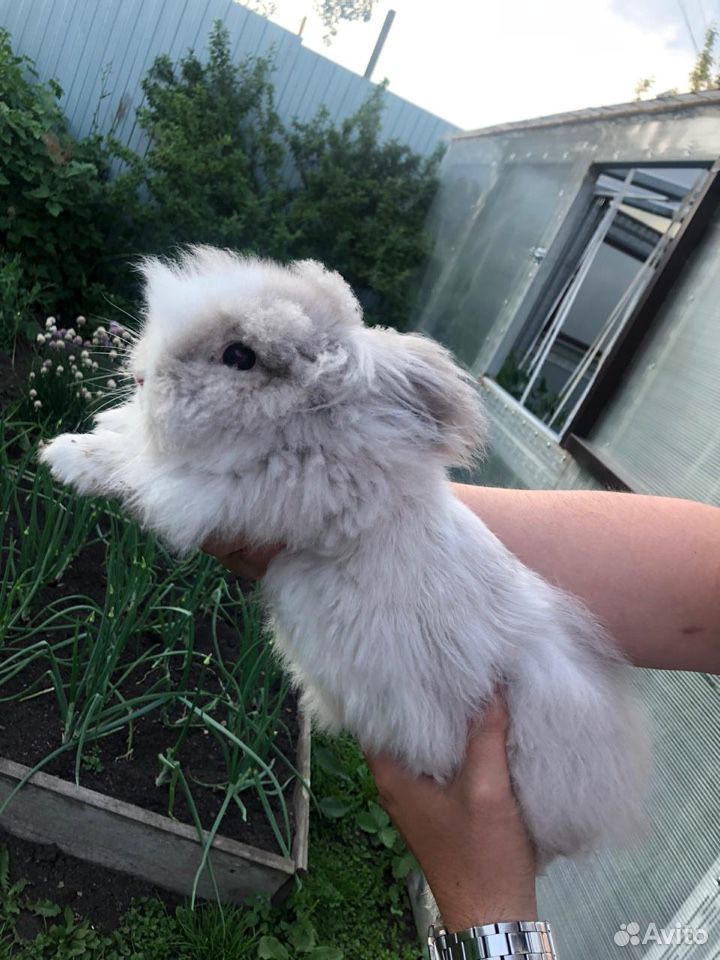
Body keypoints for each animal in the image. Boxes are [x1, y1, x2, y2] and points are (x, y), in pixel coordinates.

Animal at [40, 245, 651, 862]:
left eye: (239, 356)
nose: (139, 375)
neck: (306, 430)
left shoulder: (221, 489)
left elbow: (142, 472)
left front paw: (62, 456)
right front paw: (98, 428)